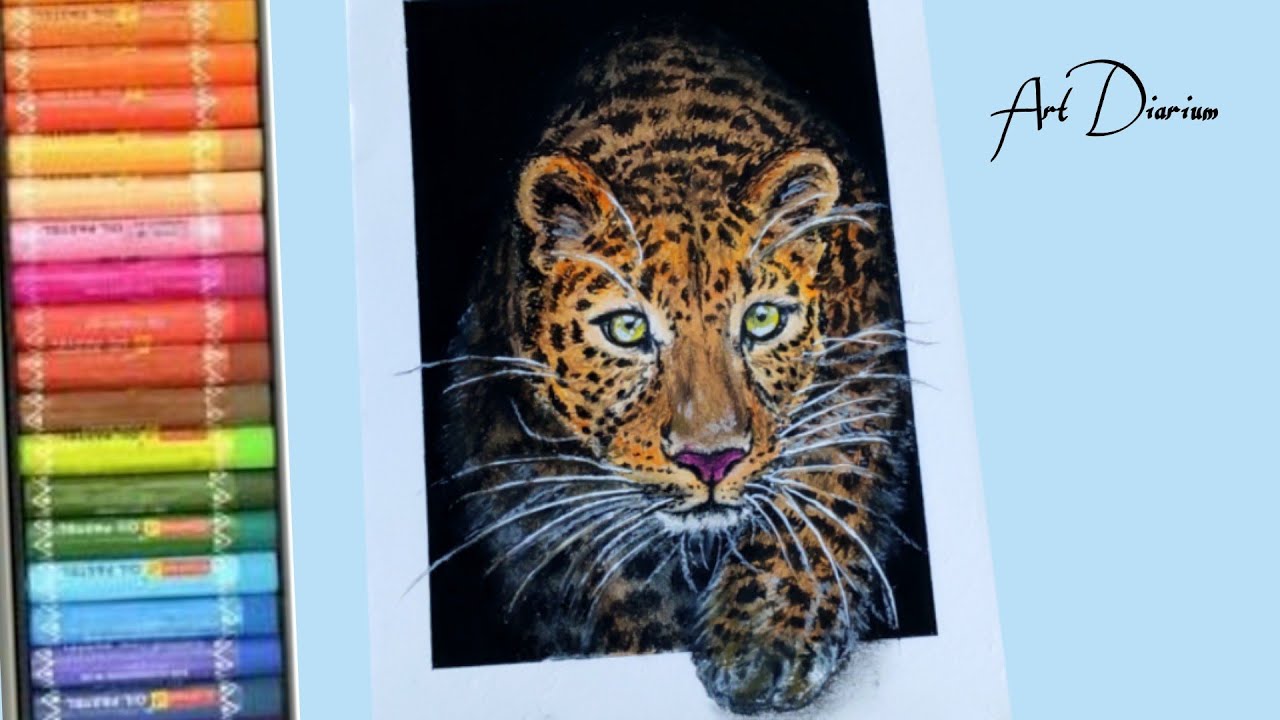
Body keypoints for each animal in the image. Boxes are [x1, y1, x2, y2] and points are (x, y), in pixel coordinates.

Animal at [427, 30, 918, 715]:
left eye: (762, 320)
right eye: (627, 330)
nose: (711, 461)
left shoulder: (865, 364)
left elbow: (825, 487)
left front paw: (764, 645)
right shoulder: (516, 472)